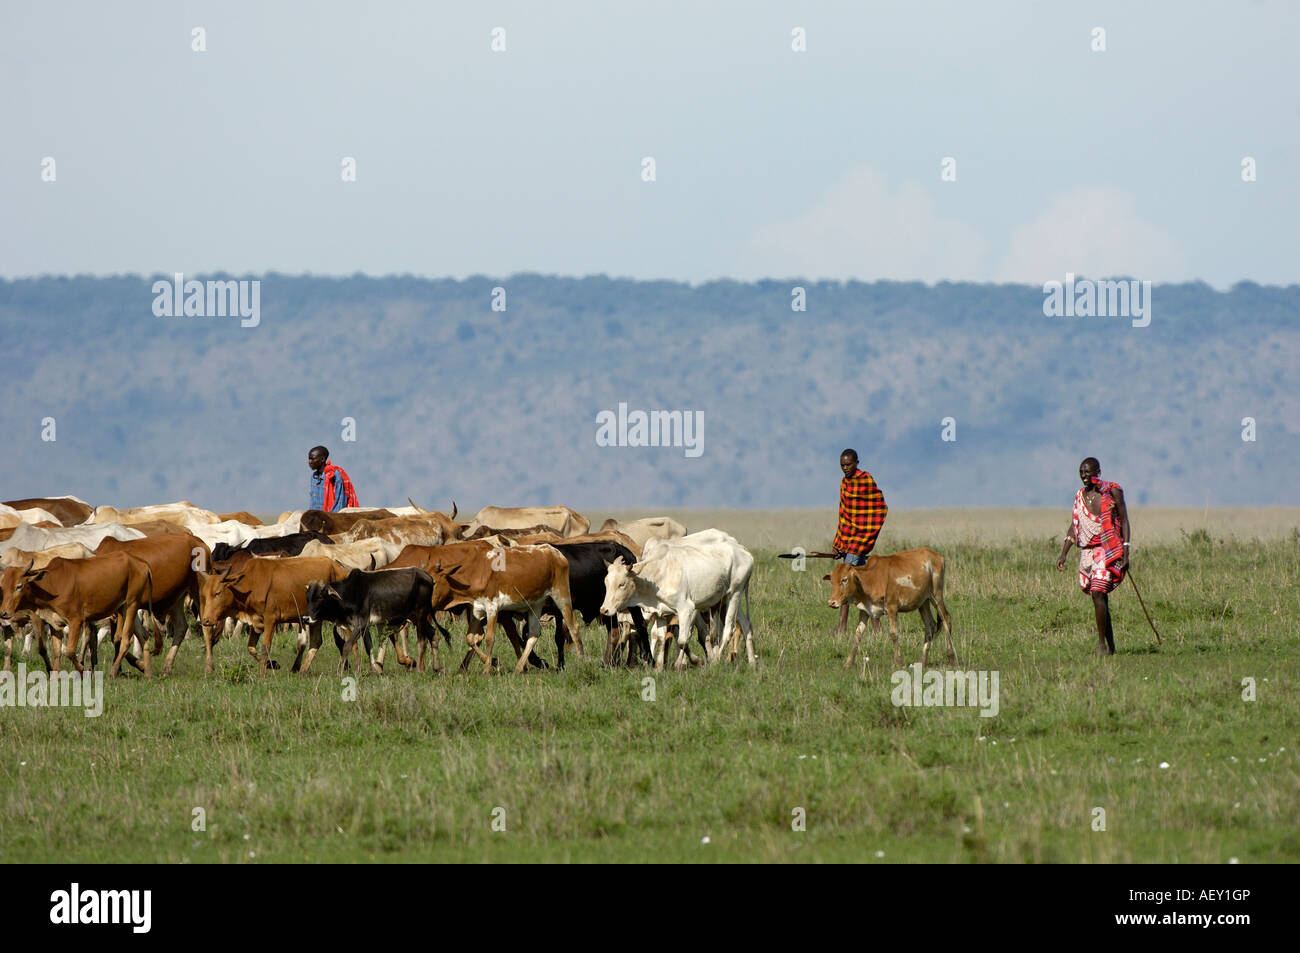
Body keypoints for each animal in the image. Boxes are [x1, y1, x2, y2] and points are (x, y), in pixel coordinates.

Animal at [0, 553, 156, 676]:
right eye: (2, 586)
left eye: (19, 586)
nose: (4, 612)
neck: (53, 585)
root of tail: (141, 564)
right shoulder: (54, 624)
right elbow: (57, 652)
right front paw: (54, 677)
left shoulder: (76, 620)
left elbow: (69, 651)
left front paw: (83, 670)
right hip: (125, 607)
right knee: (143, 637)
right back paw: (147, 672)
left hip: (131, 604)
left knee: (125, 640)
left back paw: (113, 672)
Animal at [303, 568, 439, 674]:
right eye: (308, 598)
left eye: (319, 597)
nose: (305, 618)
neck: (350, 594)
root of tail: (428, 577)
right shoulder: (364, 627)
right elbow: (369, 647)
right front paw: (375, 669)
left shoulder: (360, 624)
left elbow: (347, 645)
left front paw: (339, 671)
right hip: (416, 617)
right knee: (432, 633)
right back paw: (437, 668)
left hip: (420, 614)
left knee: (421, 641)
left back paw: (420, 670)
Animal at [600, 529, 755, 671]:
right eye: (606, 582)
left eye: (622, 584)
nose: (604, 609)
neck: (658, 574)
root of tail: (743, 550)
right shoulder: (660, 613)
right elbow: (660, 637)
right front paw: (659, 666)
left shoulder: (687, 609)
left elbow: (683, 640)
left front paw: (691, 662)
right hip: (727, 599)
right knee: (745, 625)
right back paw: (752, 661)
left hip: (734, 594)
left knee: (729, 629)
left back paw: (716, 659)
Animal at [823, 549, 955, 670]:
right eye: (832, 581)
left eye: (844, 579)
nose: (831, 602)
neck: (870, 579)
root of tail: (936, 555)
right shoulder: (865, 611)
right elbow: (858, 635)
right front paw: (848, 663)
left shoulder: (892, 608)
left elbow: (894, 634)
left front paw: (897, 662)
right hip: (923, 602)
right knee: (930, 625)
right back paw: (922, 661)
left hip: (936, 595)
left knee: (946, 618)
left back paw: (951, 657)